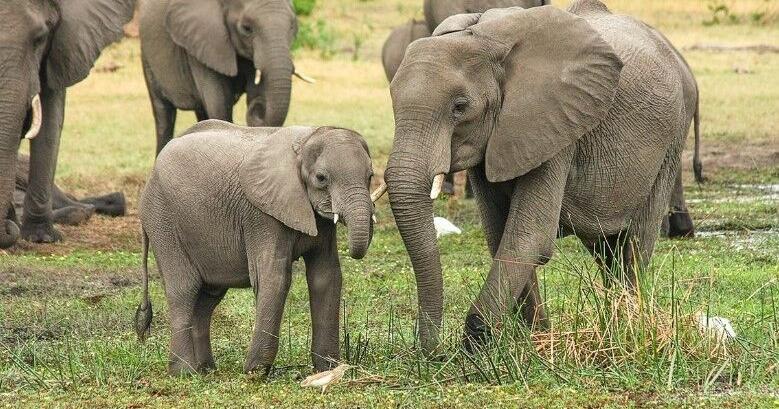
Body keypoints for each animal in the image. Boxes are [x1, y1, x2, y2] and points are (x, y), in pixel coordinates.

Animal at [135, 120, 381, 375]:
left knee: (208, 297)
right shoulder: (261, 215)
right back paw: (184, 372)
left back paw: (206, 370)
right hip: (162, 220)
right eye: (321, 178)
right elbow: (274, 277)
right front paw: (255, 372)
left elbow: (326, 276)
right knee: (184, 289)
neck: (306, 141)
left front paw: (328, 369)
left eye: (370, 176)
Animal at [139, 0, 309, 155]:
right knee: (164, 115)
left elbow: (253, 92)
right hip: (147, 58)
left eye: (292, 26)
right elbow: (219, 104)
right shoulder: (206, 44)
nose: (258, 107)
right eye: (246, 28)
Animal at [381, 1, 701, 354]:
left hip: (672, 138)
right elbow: (499, 234)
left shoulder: (557, 124)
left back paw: (627, 327)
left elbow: (529, 236)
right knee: (607, 249)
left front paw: (476, 346)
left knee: (635, 242)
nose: (434, 353)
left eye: (460, 107)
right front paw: (534, 338)